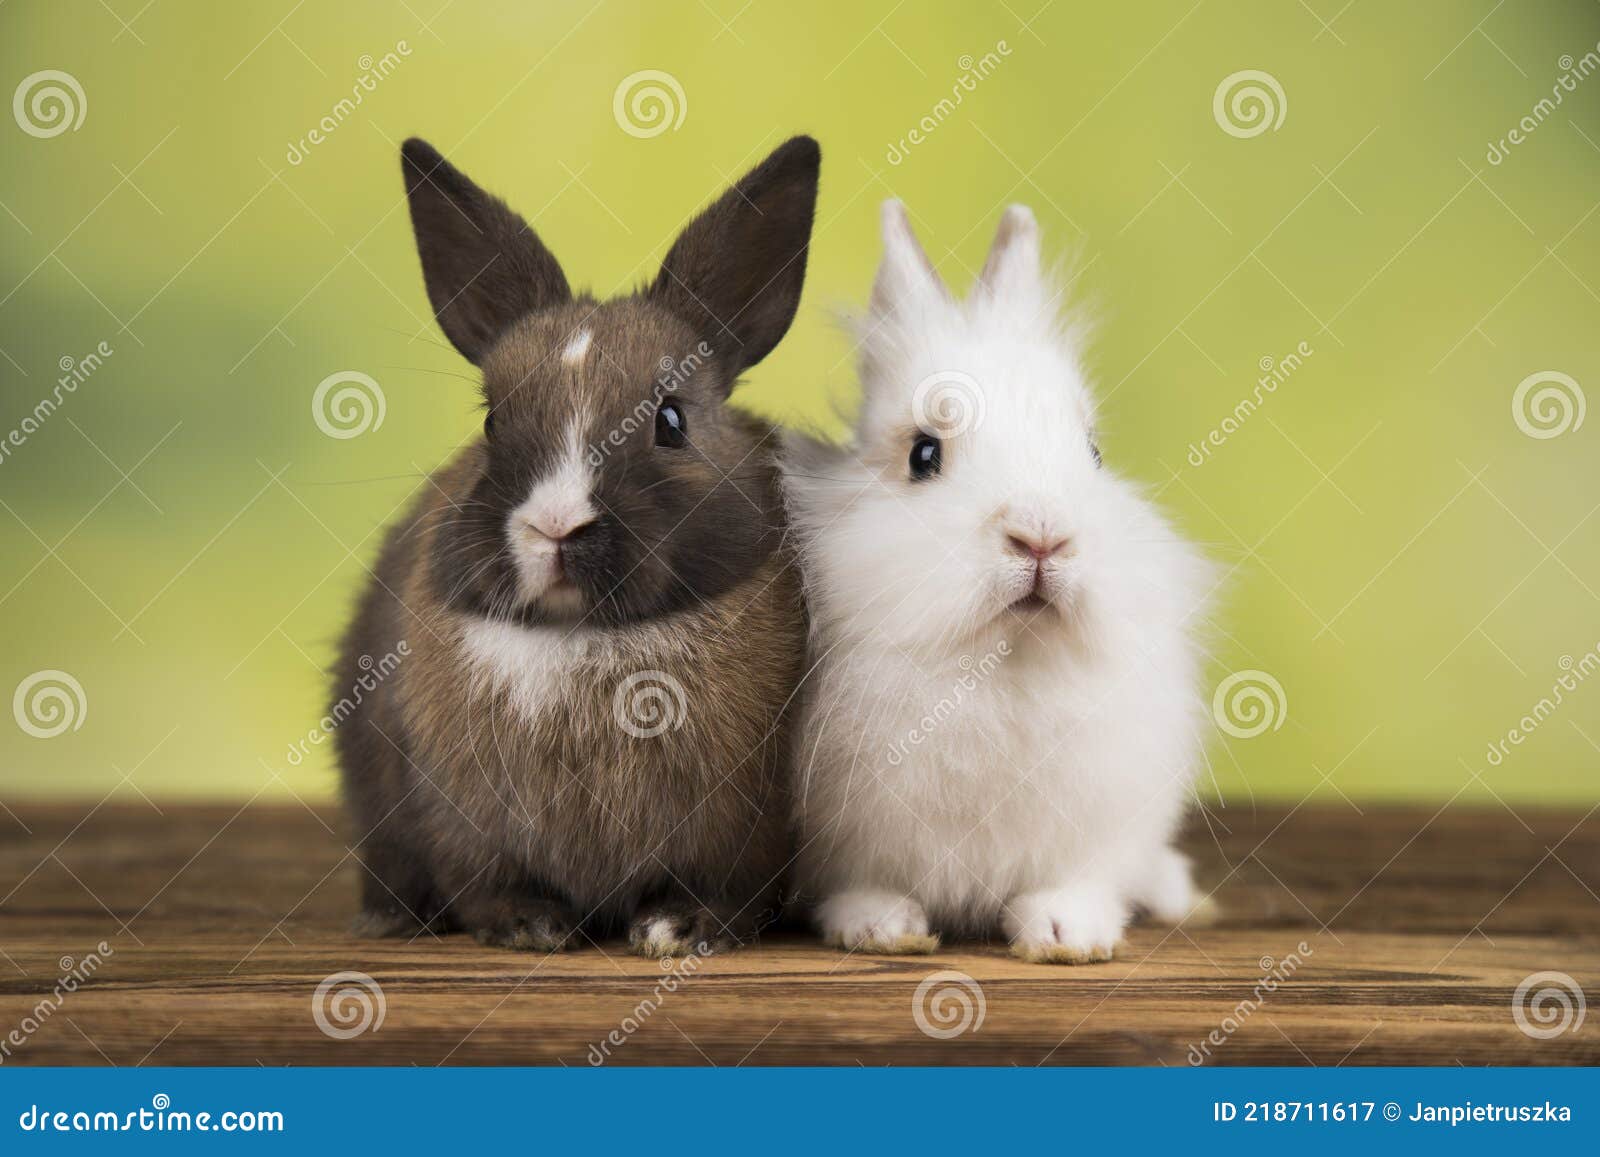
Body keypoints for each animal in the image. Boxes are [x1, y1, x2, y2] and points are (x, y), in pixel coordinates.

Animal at [333, 135, 821, 957]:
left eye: (671, 420)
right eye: (492, 419)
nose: (556, 525)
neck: (583, 638)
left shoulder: (750, 839)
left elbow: (732, 892)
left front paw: (677, 928)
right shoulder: (454, 824)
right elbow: (483, 885)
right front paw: (530, 925)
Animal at [781, 201, 1216, 964]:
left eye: (1094, 451)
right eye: (923, 454)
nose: (1042, 534)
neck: (1004, 658)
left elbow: (1074, 882)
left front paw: (1068, 935)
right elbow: (860, 883)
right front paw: (882, 927)